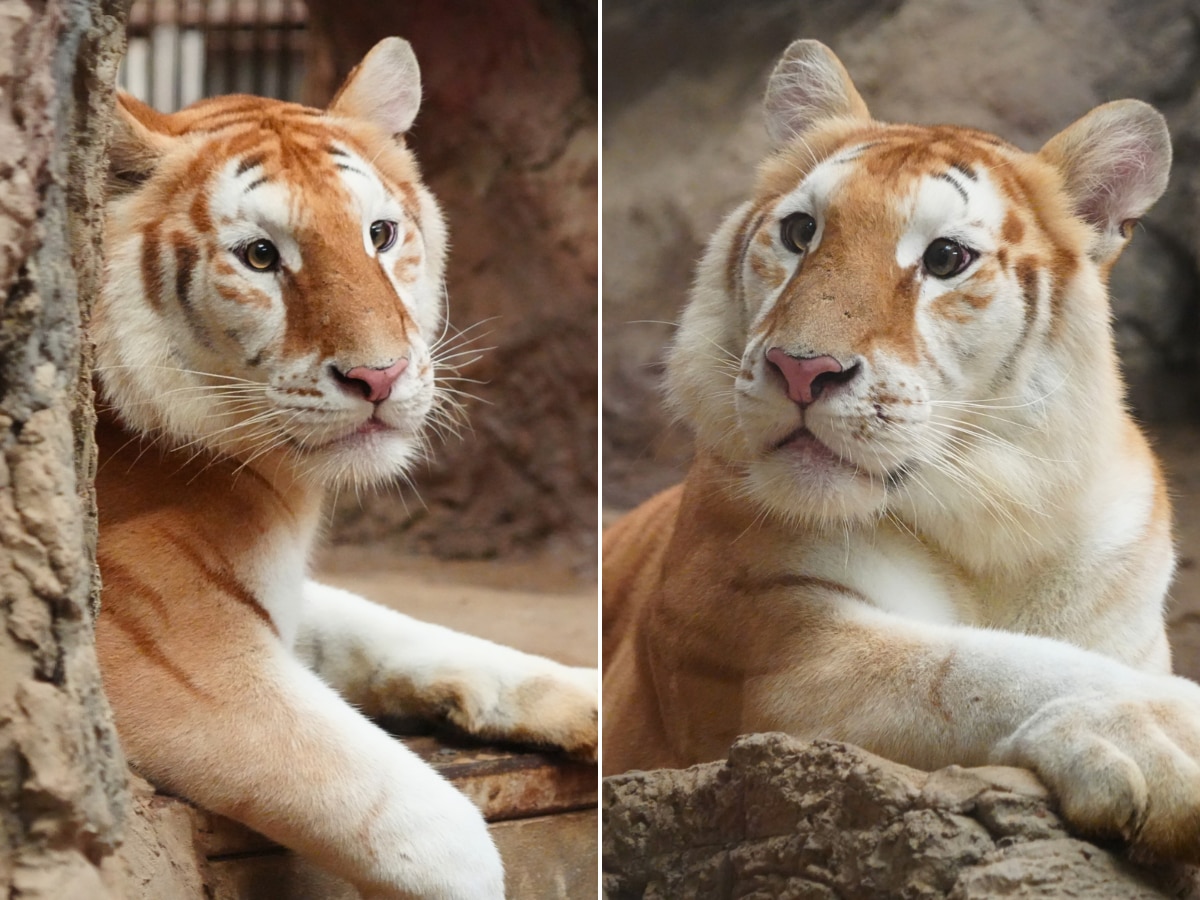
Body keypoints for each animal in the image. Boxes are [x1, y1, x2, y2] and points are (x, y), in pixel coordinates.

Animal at [94, 37, 596, 899]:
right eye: (261, 256)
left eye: (380, 234)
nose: (380, 376)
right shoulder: (167, 655)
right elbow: (436, 830)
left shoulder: (276, 594)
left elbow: (397, 628)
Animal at [602, 38, 1200, 862]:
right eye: (801, 233)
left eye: (945, 257)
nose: (800, 369)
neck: (998, 532)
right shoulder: (771, 644)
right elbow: (974, 665)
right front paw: (1157, 736)